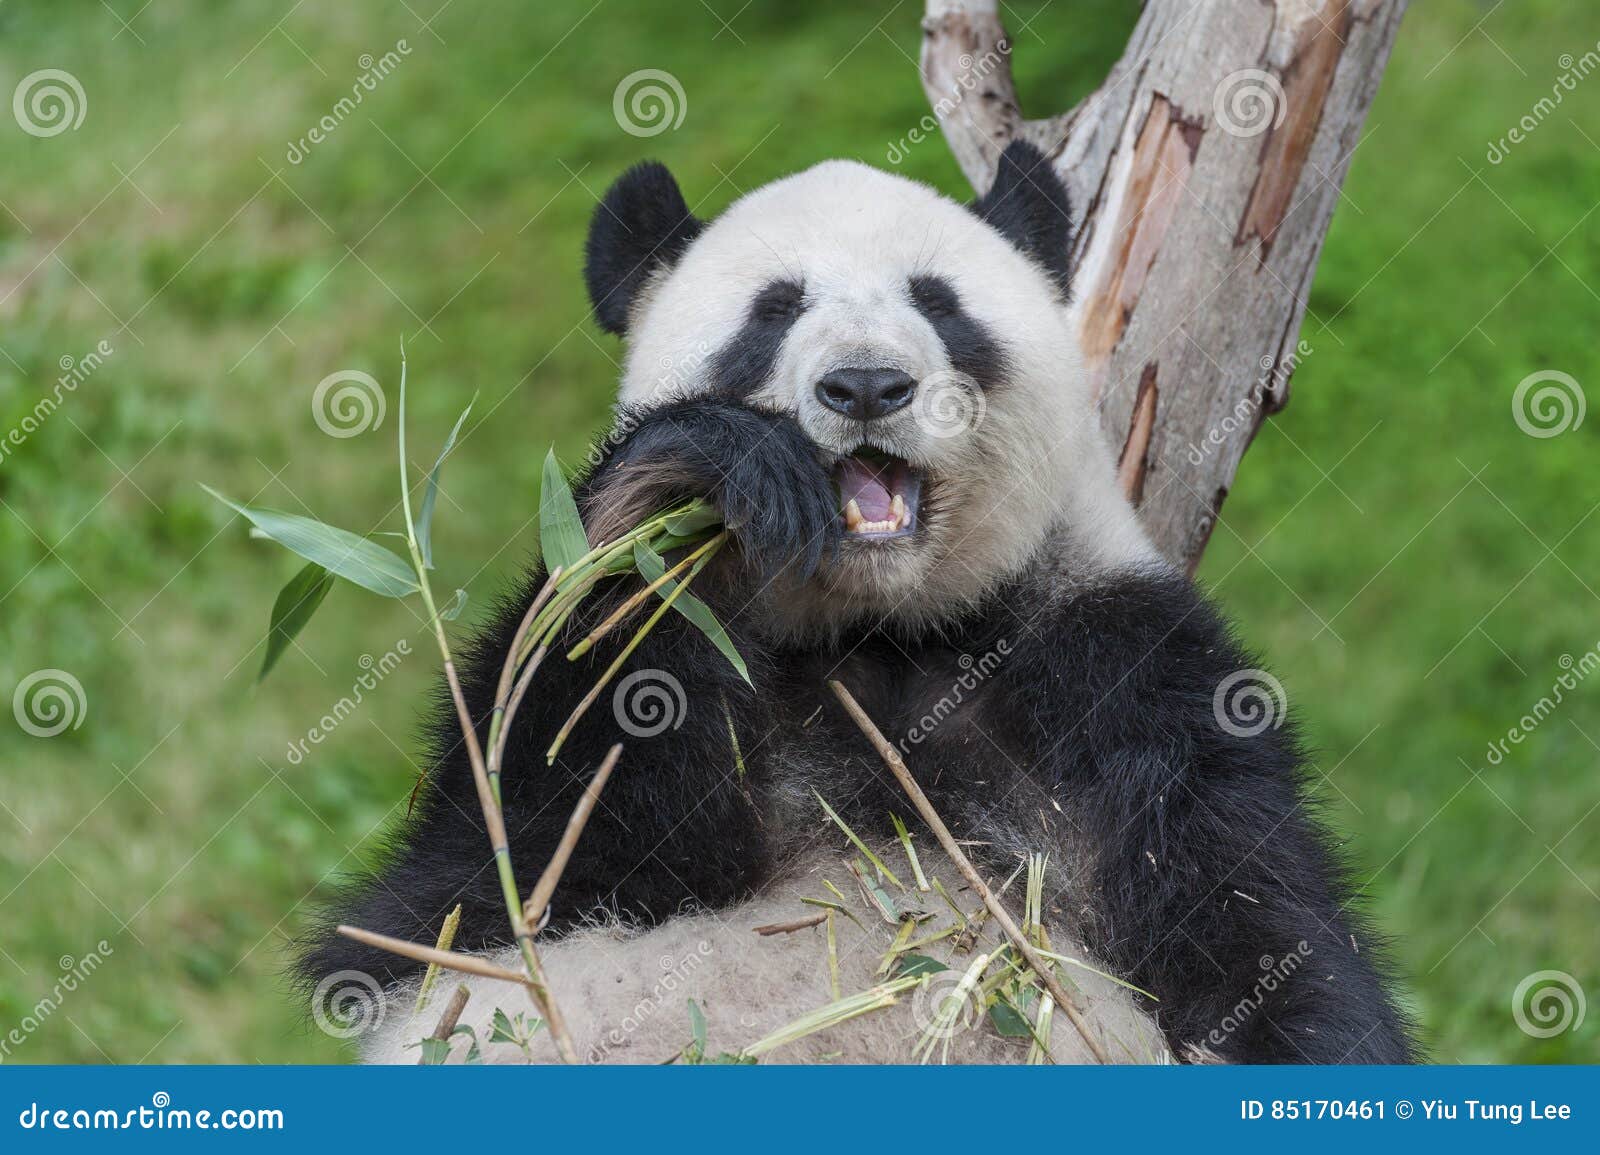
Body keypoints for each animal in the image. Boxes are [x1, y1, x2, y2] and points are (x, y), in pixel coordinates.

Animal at [299, 141, 1416, 1065]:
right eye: (773, 310)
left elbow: (1265, 948)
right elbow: (492, 881)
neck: (880, 632)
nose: (868, 385)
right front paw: (694, 476)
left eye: (941, 302)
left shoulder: (1122, 672)